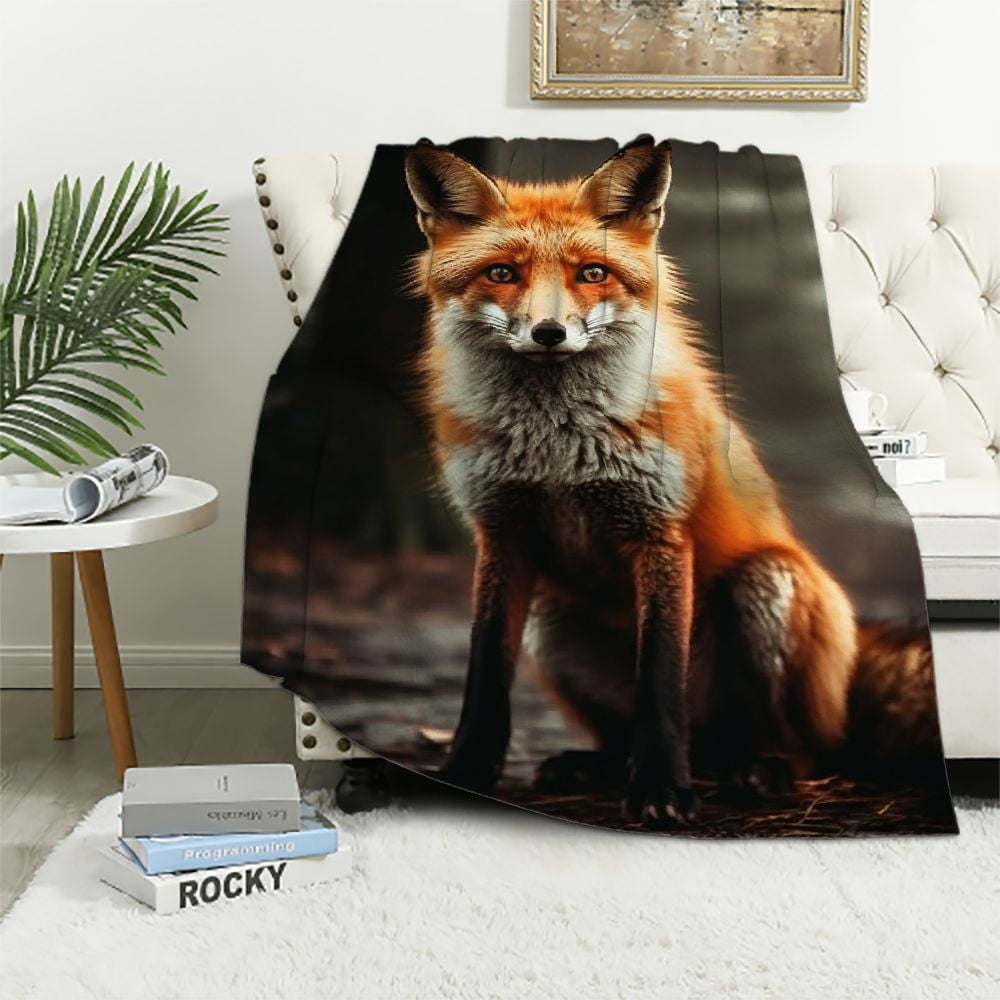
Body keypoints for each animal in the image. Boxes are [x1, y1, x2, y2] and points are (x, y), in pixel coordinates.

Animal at [402, 136, 933, 826]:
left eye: (592, 273)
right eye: (501, 274)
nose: (549, 333)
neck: (555, 449)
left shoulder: (659, 532)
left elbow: (660, 678)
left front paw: (660, 788)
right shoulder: (503, 533)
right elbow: (485, 671)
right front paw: (464, 773)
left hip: (767, 584)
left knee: (800, 748)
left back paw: (759, 769)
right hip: (552, 615)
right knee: (625, 733)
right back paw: (599, 765)